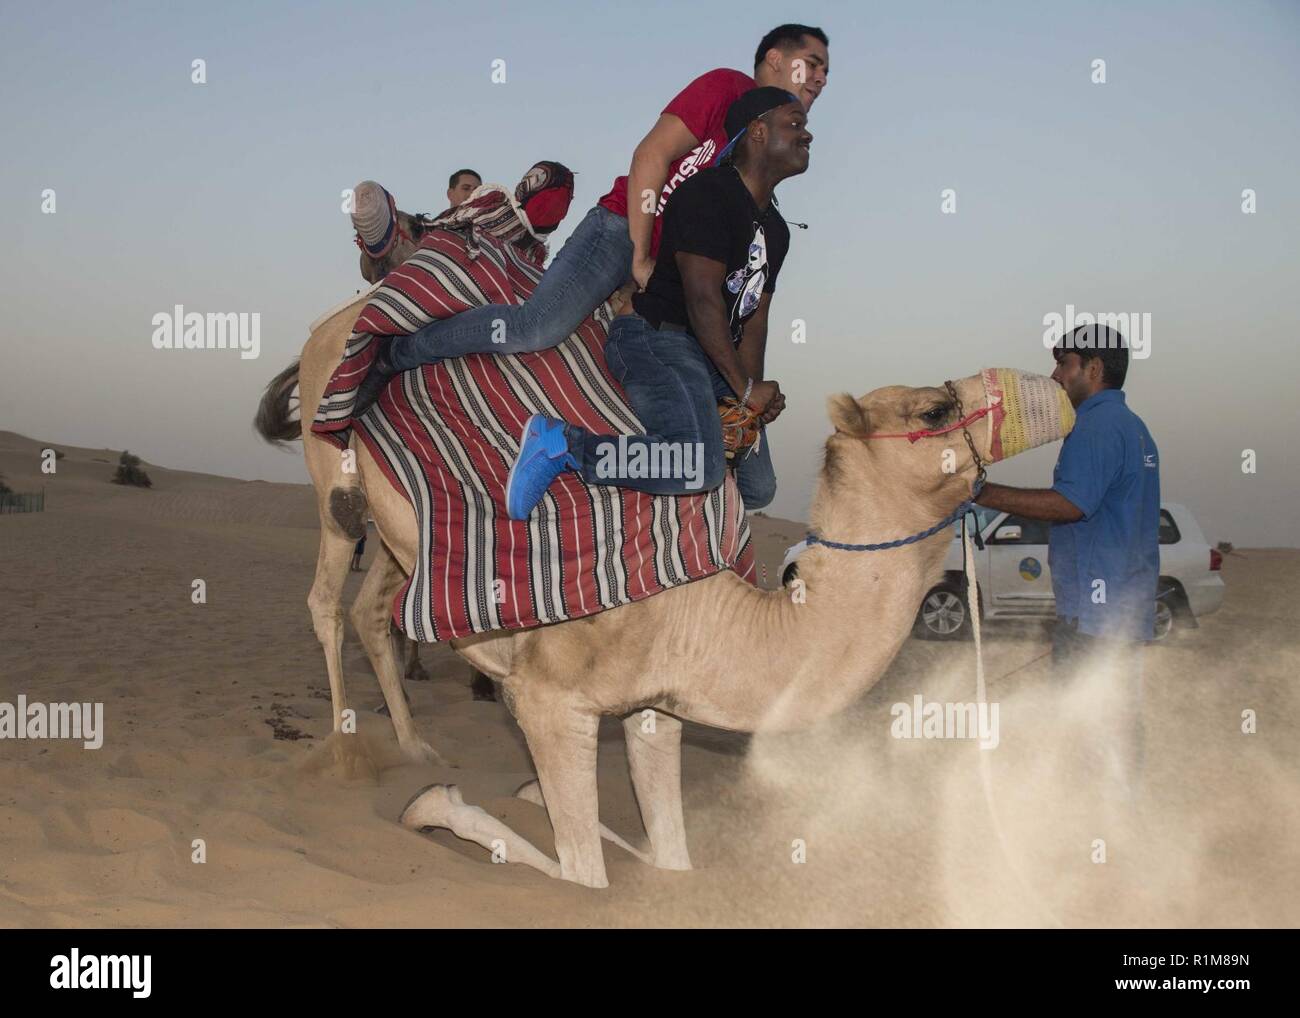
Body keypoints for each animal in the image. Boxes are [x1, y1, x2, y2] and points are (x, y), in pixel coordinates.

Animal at [258, 301, 1061, 883]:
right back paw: (345, 756)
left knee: (377, 610)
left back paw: (415, 747)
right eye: (933, 410)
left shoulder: (655, 705)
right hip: (336, 485)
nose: (1048, 393)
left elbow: (671, 860)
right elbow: (582, 877)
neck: (718, 614)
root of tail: (330, 322)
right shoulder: (551, 701)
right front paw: (441, 810)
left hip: (406, 543)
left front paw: (522, 796)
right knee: (326, 598)